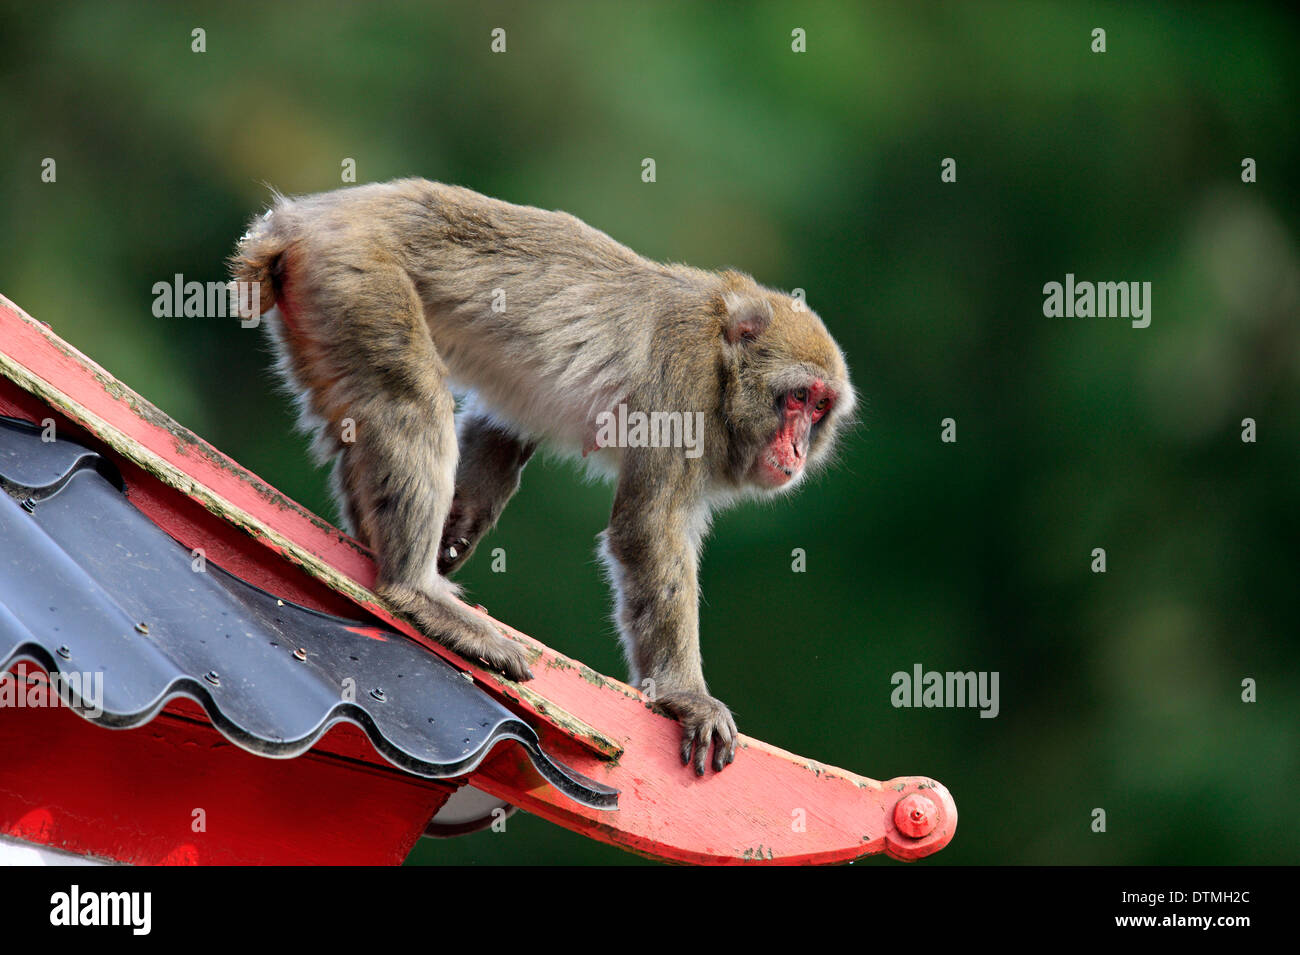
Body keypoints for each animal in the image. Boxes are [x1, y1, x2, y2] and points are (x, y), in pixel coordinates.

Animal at [231, 179, 854, 773]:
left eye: (820, 407)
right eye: (797, 397)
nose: (798, 448)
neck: (722, 362)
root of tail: (307, 216)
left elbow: (506, 420)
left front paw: (459, 529)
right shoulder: (683, 388)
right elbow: (649, 530)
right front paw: (686, 696)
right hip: (358, 274)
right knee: (410, 398)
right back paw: (414, 589)